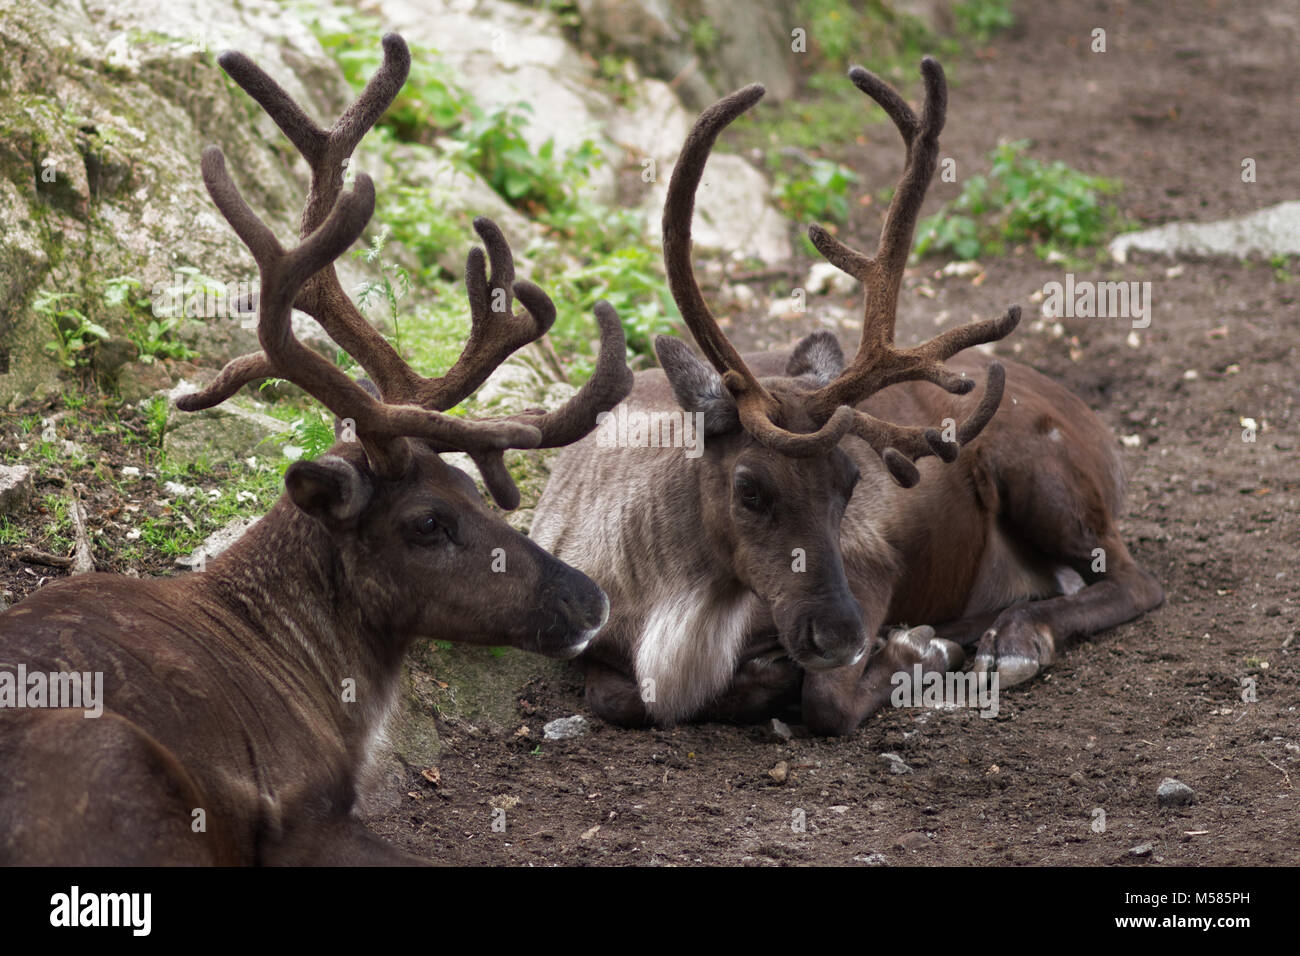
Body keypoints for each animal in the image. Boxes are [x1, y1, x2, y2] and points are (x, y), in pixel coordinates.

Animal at [531, 57, 1165, 736]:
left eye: (851, 481)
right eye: (748, 488)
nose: (841, 636)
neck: (673, 615)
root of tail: (1097, 426)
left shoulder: (870, 563)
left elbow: (825, 702)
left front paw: (916, 649)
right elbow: (621, 698)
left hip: (1040, 473)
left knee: (1134, 578)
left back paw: (1011, 638)